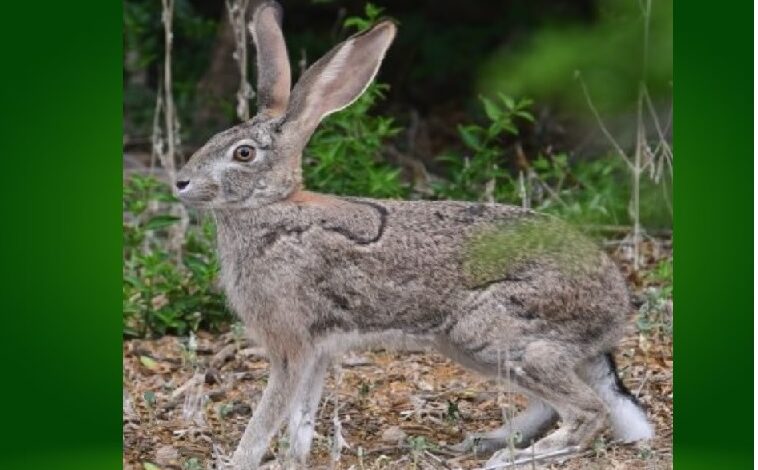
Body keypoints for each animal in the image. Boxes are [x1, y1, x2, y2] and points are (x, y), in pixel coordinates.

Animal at [175, 1, 654, 468]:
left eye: (243, 154)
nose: (180, 182)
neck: (270, 207)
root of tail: (615, 310)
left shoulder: (292, 346)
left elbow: (266, 418)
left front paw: (241, 461)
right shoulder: (318, 351)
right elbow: (302, 417)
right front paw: (294, 460)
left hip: (493, 332)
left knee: (587, 412)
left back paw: (514, 458)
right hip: (471, 345)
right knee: (553, 405)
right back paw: (486, 442)